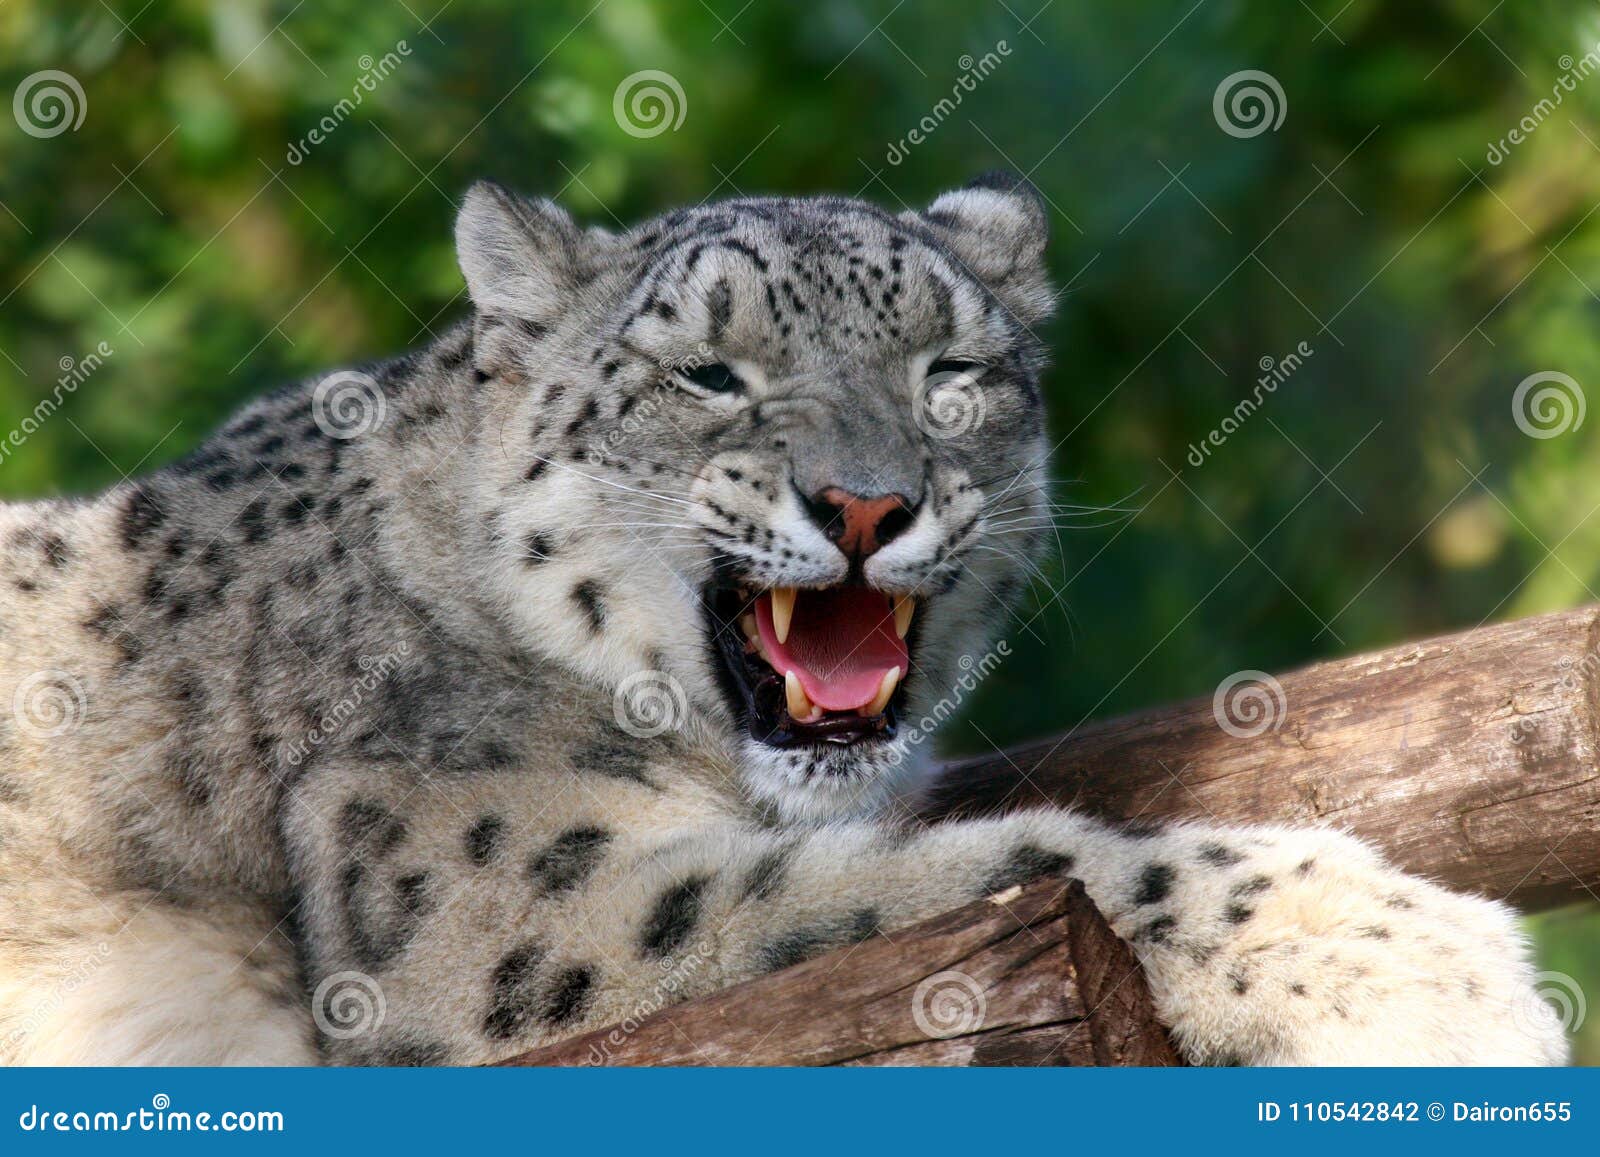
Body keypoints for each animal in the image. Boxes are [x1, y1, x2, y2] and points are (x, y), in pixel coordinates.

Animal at [0, 173, 1568, 1066]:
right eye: (706, 374)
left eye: (951, 371)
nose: (867, 503)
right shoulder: (508, 912)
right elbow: (995, 866)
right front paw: (1426, 965)